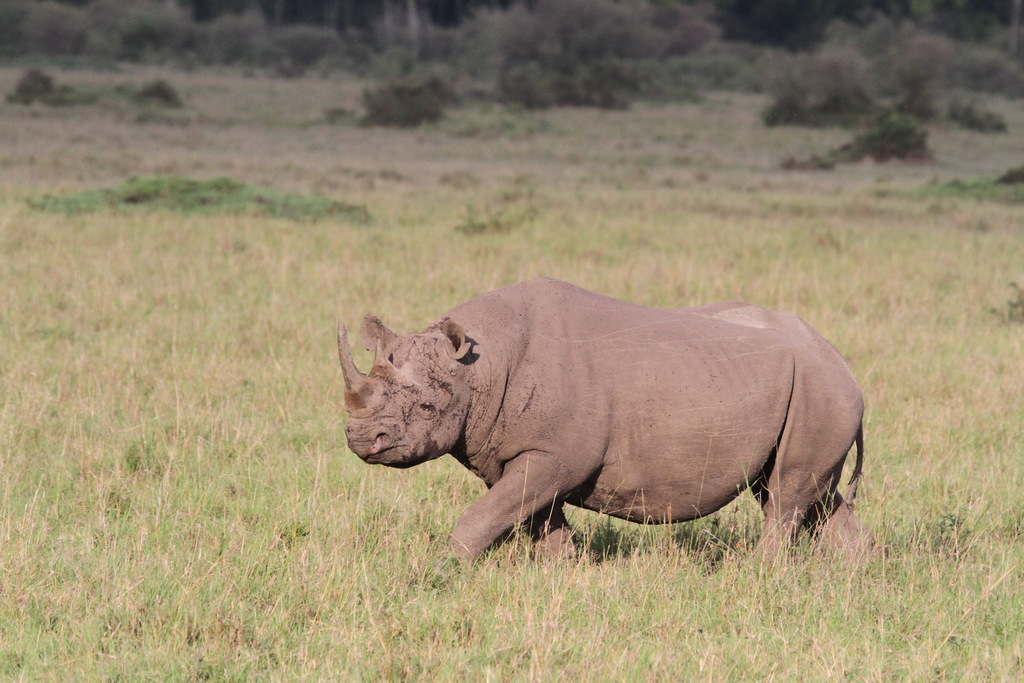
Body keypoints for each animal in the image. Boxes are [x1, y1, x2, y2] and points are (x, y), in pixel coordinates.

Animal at [338, 278, 871, 562]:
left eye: (429, 408)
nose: (362, 439)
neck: (480, 365)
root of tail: (842, 362)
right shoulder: (521, 453)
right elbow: (537, 519)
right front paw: (566, 574)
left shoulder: (556, 455)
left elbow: (484, 516)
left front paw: (444, 572)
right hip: (811, 389)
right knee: (809, 494)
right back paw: (854, 572)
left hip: (820, 390)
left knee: (785, 495)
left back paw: (757, 576)